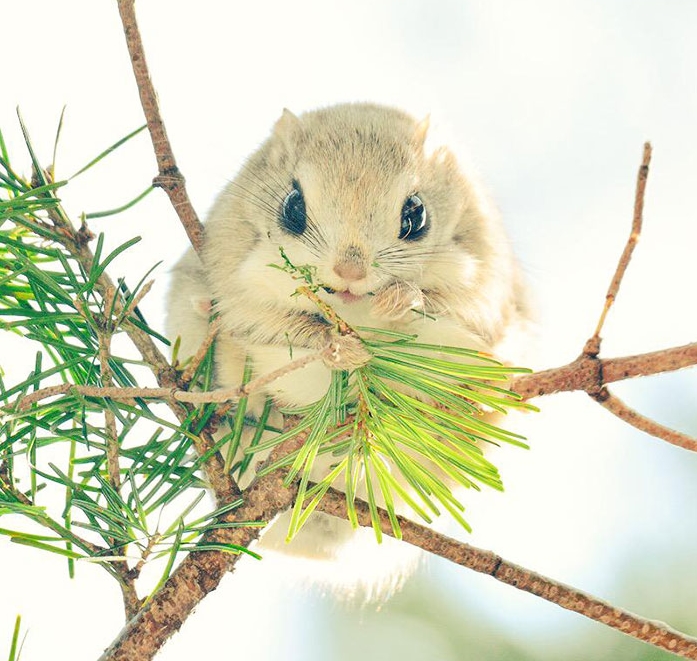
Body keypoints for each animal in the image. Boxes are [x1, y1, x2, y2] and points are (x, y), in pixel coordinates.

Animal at [166, 103, 532, 597]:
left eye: (416, 215)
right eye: (293, 207)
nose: (350, 271)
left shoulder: (484, 294)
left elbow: (437, 308)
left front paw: (398, 301)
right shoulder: (236, 284)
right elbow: (279, 327)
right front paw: (340, 349)